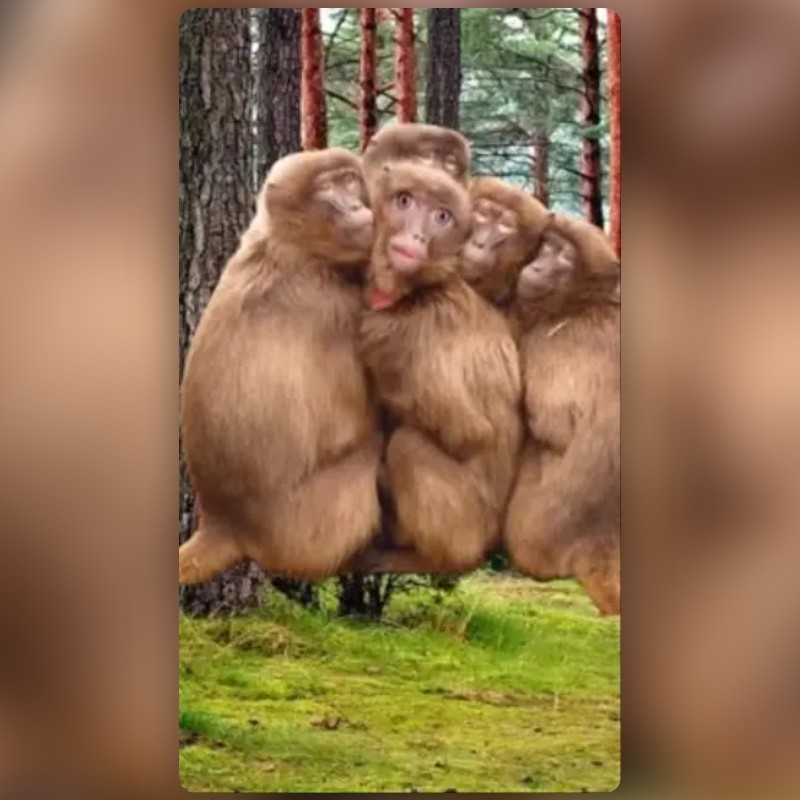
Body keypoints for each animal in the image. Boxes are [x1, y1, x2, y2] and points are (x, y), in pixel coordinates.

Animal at [178, 148, 382, 585]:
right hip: (316, 527)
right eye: (328, 188)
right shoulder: (337, 307)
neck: (289, 248)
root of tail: (223, 522)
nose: (355, 207)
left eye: (349, 181)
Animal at [347, 162, 523, 575]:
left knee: (408, 445)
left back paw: (426, 558)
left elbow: (466, 431)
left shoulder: (407, 333)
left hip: (467, 524)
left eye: (441, 217)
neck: (413, 292)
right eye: (404, 201)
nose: (417, 235)